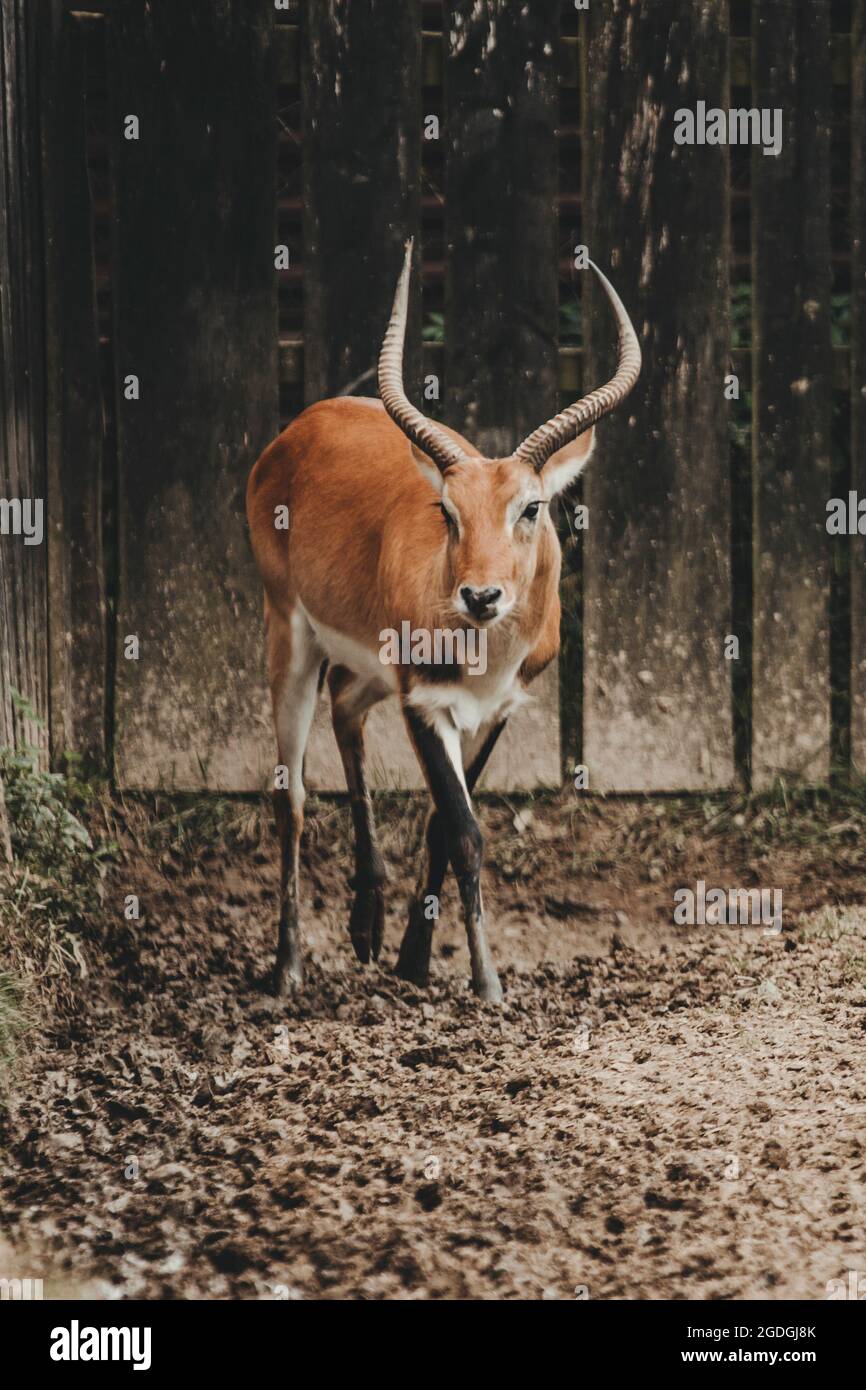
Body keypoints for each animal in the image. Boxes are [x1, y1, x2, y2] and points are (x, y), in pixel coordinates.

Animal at [246, 242, 640, 1002]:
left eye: (531, 507)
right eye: (448, 512)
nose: (480, 595)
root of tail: (296, 430)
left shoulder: (498, 709)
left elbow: (439, 822)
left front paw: (415, 958)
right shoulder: (425, 703)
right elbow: (463, 829)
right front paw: (487, 983)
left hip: (372, 667)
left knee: (345, 706)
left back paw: (366, 928)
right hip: (291, 633)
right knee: (293, 794)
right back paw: (289, 968)